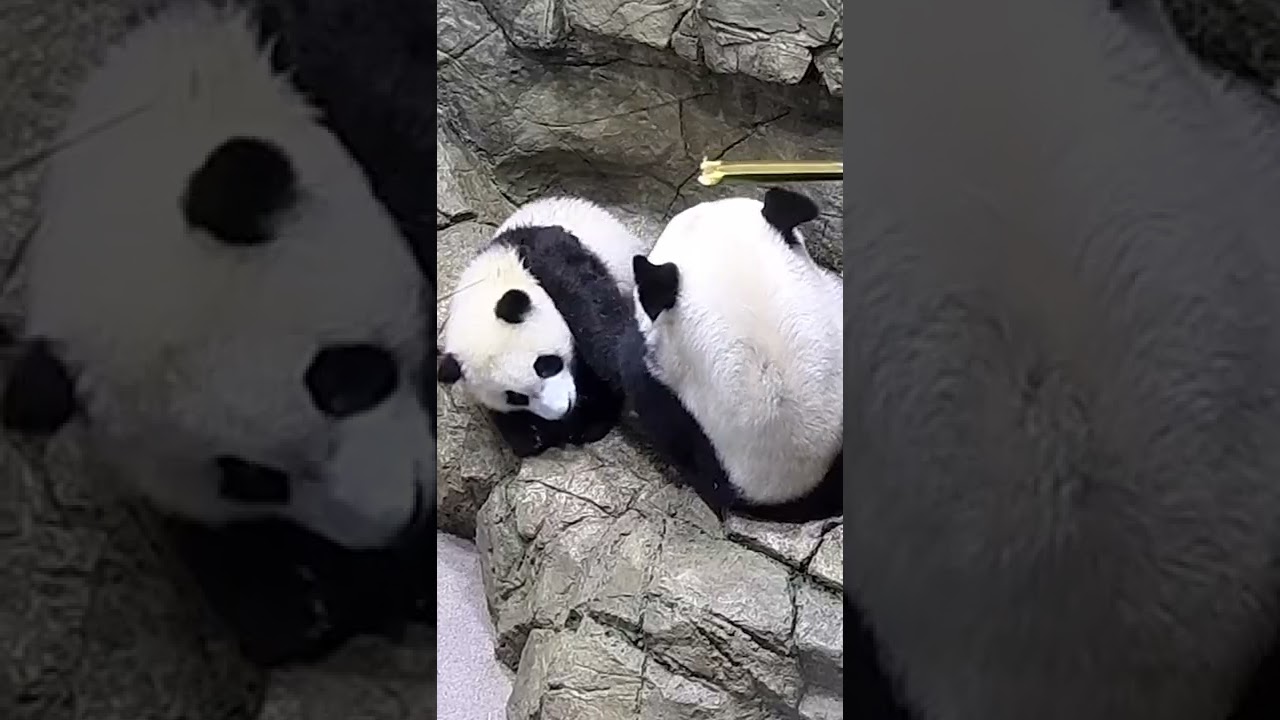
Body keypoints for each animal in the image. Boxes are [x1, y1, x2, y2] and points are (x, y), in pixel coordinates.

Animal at [436, 197, 644, 458]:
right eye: (515, 397)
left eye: (544, 365)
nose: (563, 408)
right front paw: (535, 434)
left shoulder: (555, 265)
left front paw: (588, 422)